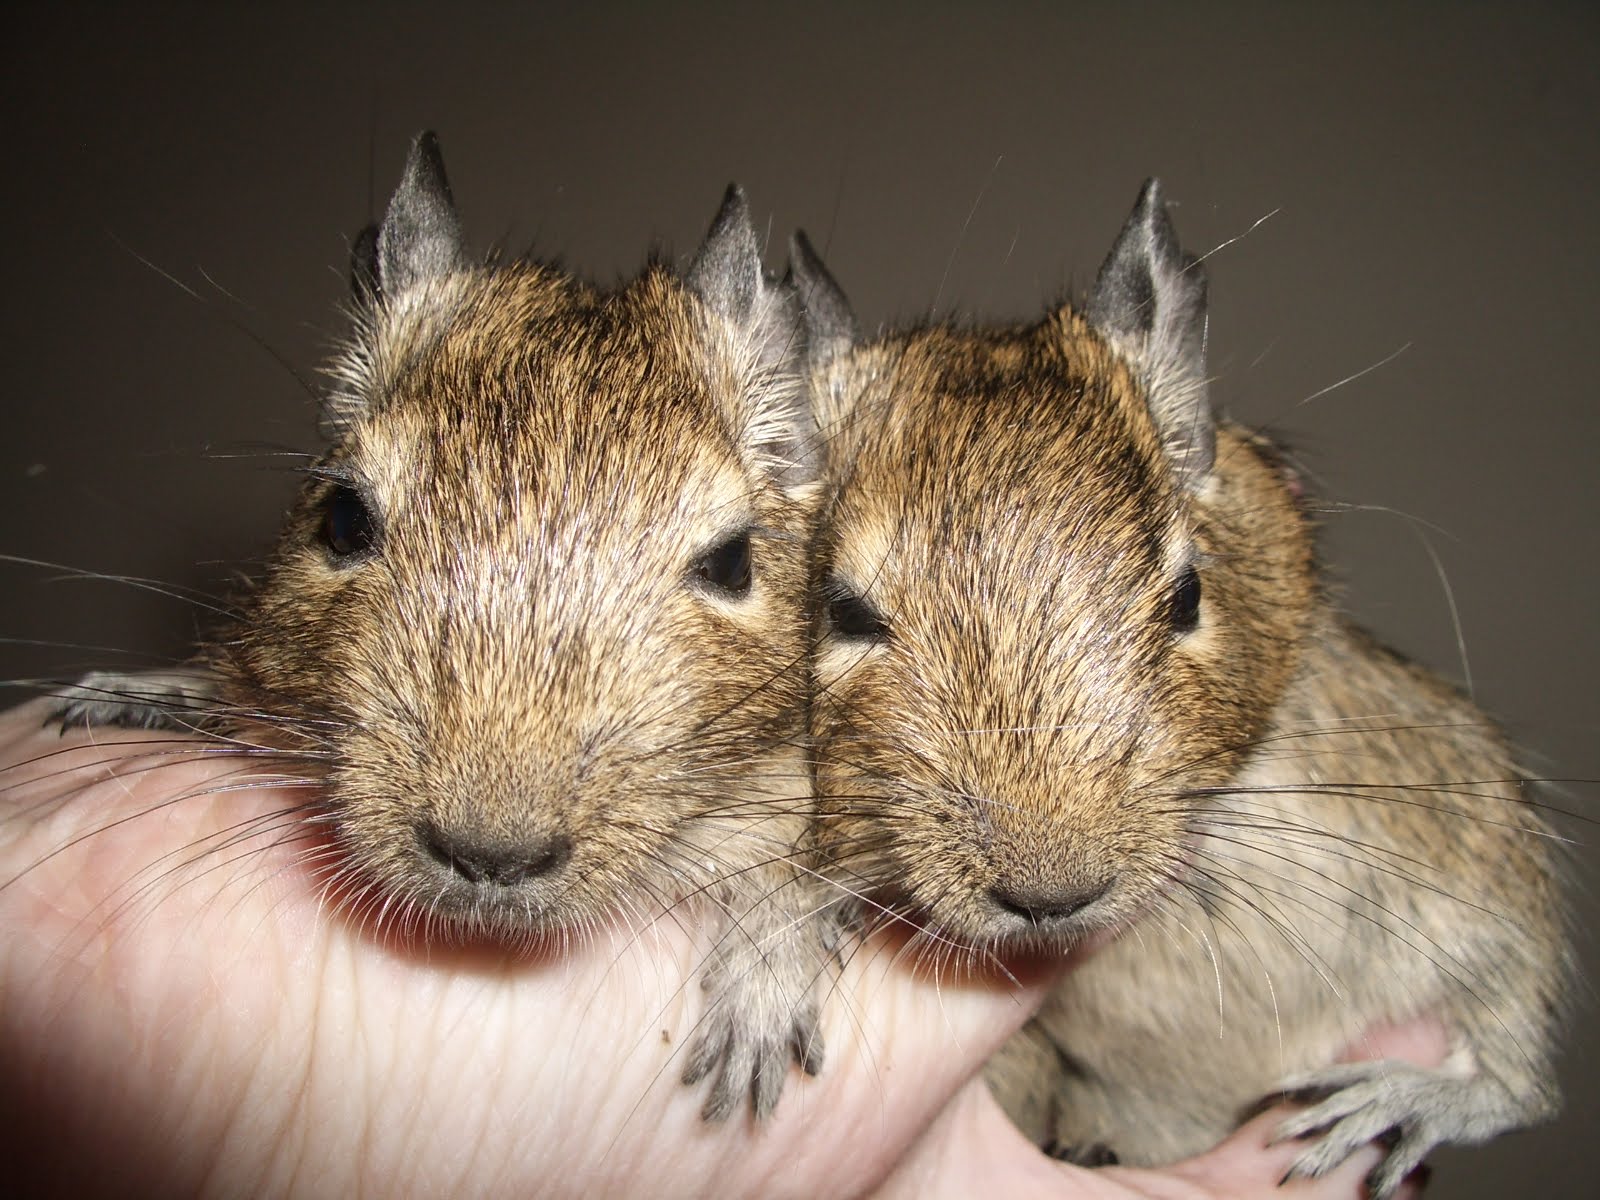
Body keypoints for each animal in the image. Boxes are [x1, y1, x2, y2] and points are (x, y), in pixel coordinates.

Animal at [49, 132, 834, 1122]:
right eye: (343, 519)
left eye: (734, 563)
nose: (490, 856)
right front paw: (148, 690)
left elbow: (803, 869)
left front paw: (760, 998)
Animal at [789, 182, 1570, 1196]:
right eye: (841, 611)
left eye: (1188, 594)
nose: (1053, 898)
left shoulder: (1469, 832)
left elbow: (1522, 1063)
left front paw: (1423, 1099)